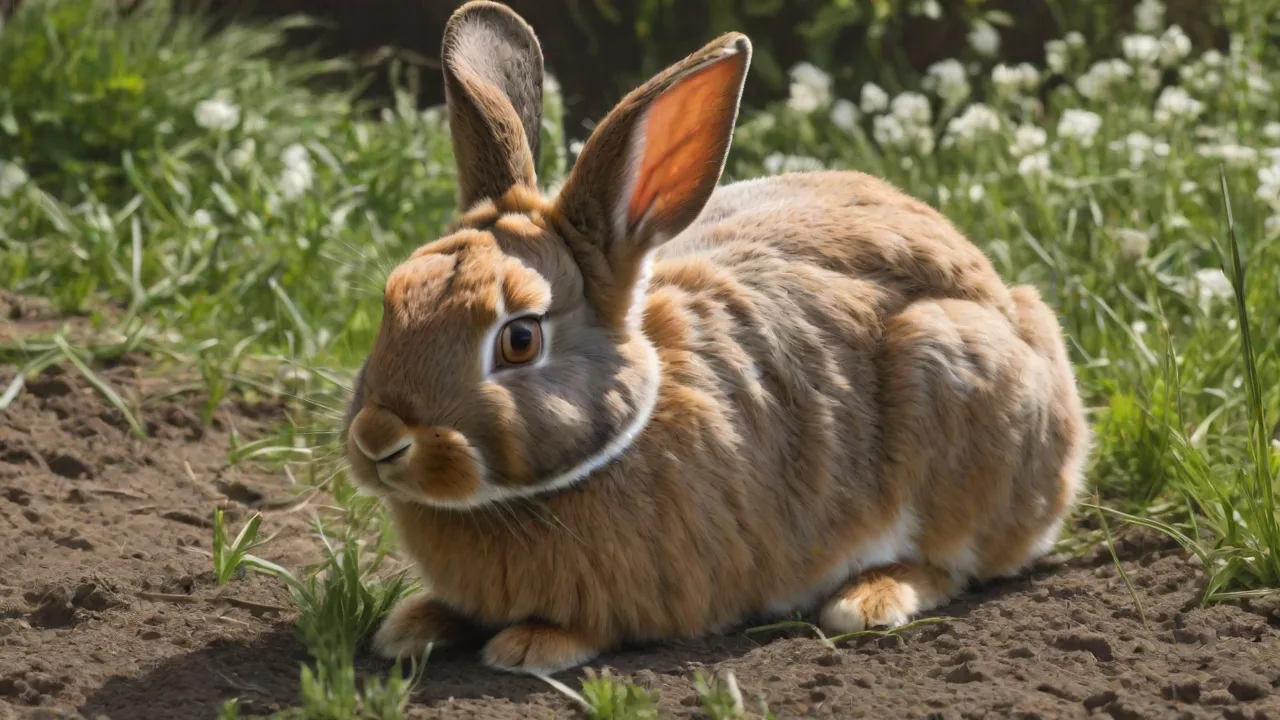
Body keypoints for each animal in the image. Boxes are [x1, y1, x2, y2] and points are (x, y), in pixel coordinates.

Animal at [343, 0, 1091, 676]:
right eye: (393, 298)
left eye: (519, 339)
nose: (378, 438)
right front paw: (412, 626)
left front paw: (529, 647)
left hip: (949, 384)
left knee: (955, 561)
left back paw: (868, 599)